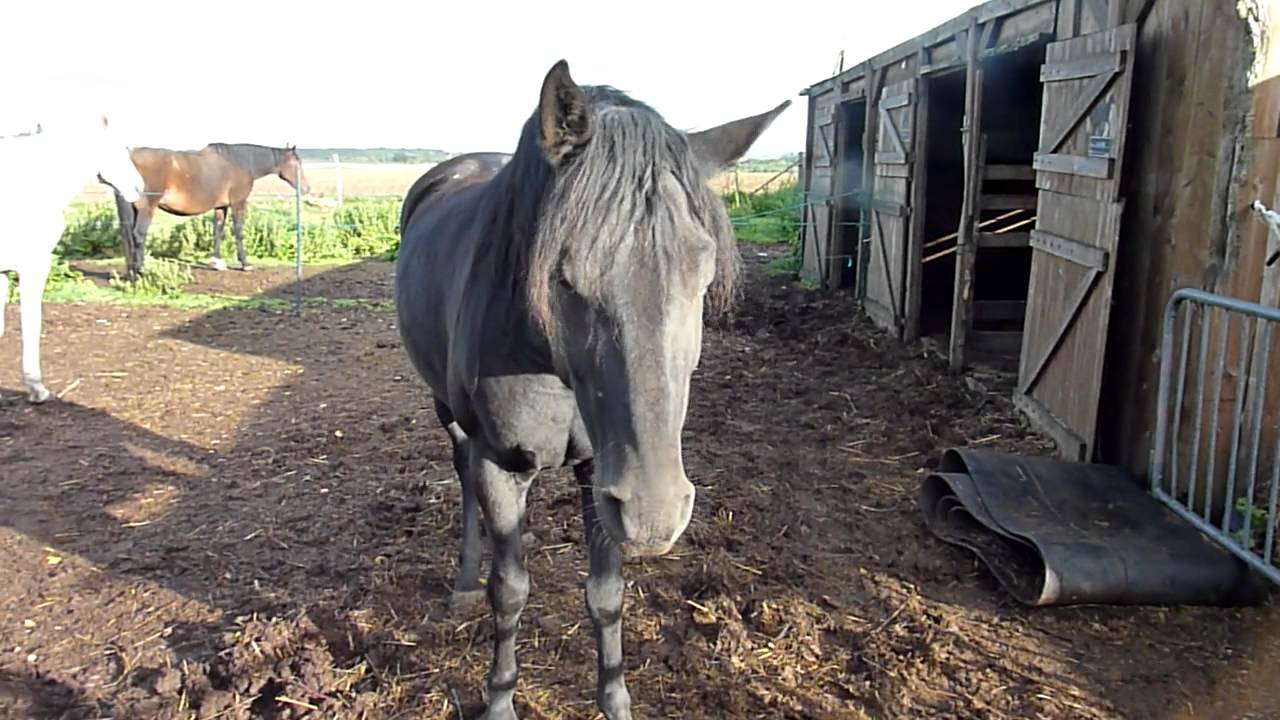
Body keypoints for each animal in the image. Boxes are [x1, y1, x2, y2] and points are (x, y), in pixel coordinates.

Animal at [115, 143, 310, 277]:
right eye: (296, 163)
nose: (306, 188)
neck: (240, 162)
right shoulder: (238, 203)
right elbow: (238, 231)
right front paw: (245, 264)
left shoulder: (220, 207)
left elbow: (218, 231)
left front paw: (217, 263)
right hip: (147, 207)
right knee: (138, 235)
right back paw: (141, 271)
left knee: (127, 236)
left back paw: (131, 272)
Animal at [395, 59, 788, 720]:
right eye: (563, 275)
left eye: (704, 271)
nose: (656, 515)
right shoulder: (505, 465)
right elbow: (510, 590)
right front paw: (498, 699)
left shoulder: (599, 474)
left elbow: (605, 593)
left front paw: (615, 698)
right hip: (447, 411)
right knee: (462, 473)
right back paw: (465, 579)